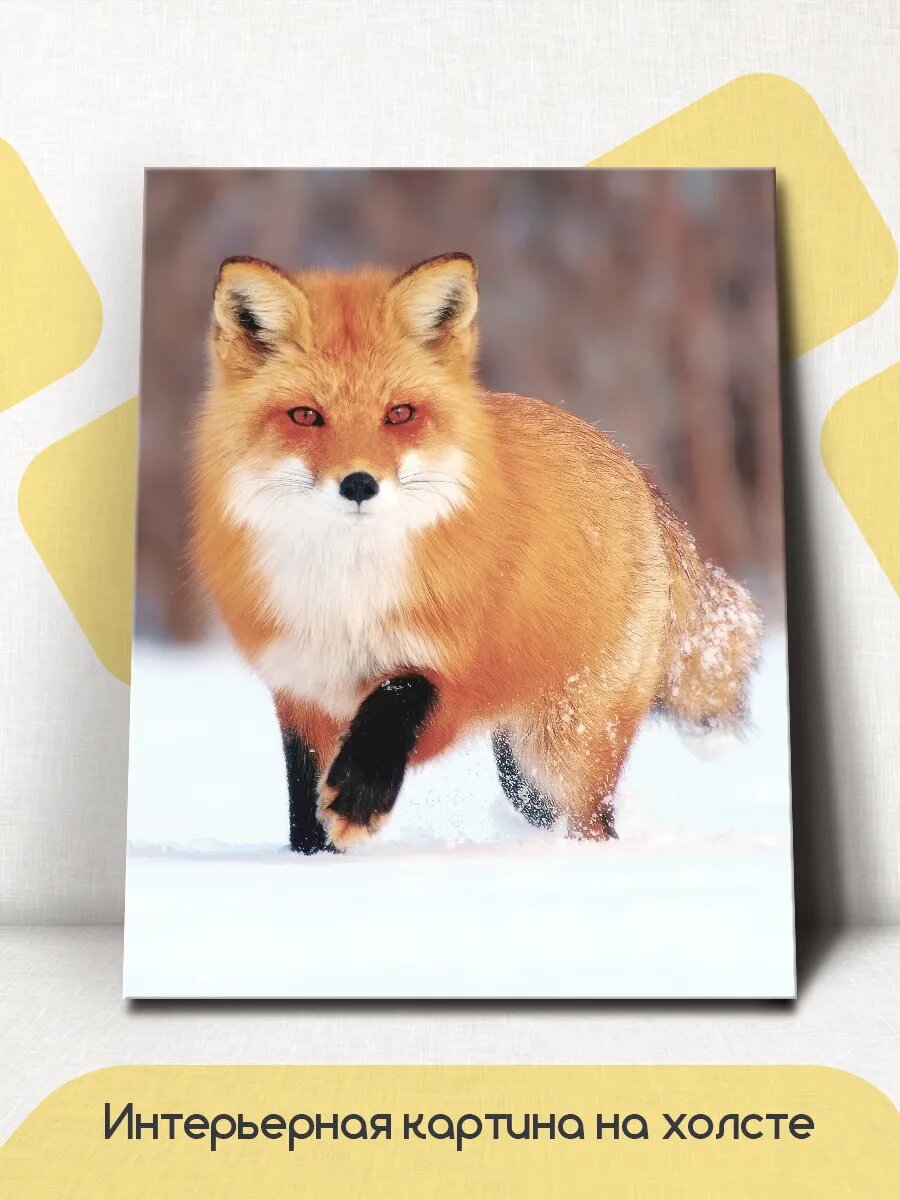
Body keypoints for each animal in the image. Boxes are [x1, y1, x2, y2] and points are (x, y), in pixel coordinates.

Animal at [190, 251, 762, 854]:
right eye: (305, 416)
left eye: (400, 414)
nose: (359, 484)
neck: (347, 597)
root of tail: (635, 470)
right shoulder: (300, 688)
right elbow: (303, 807)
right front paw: (310, 860)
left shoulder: (452, 667)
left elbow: (396, 698)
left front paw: (359, 798)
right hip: (522, 774)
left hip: (561, 748)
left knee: (595, 822)